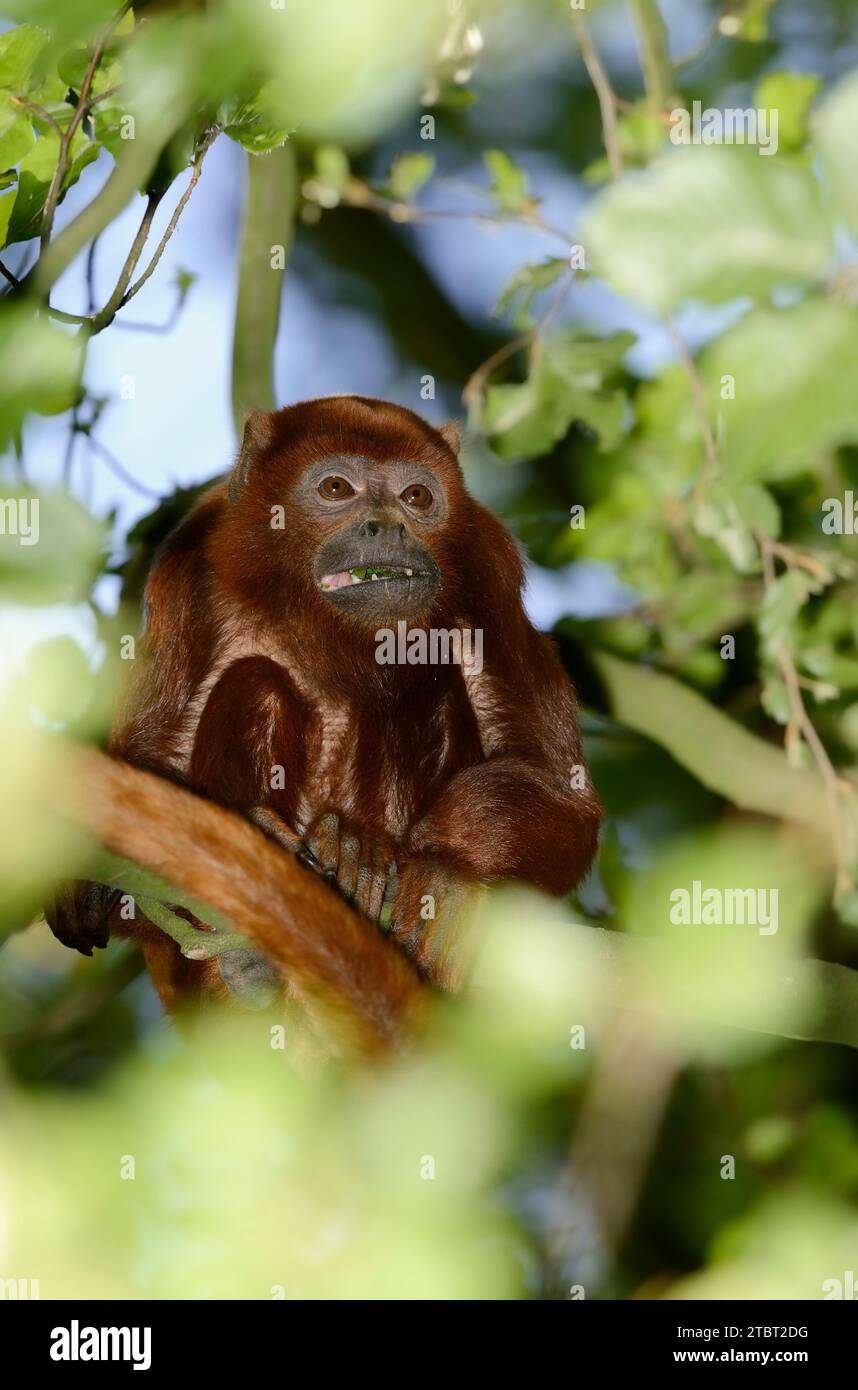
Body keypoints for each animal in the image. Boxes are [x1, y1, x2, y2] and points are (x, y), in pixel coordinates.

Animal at [46, 396, 601, 1006]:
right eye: (336, 487)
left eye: (416, 496)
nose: (387, 527)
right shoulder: (185, 568)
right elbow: (153, 761)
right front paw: (85, 882)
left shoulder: (488, 568)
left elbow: (560, 791)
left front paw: (446, 870)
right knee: (255, 682)